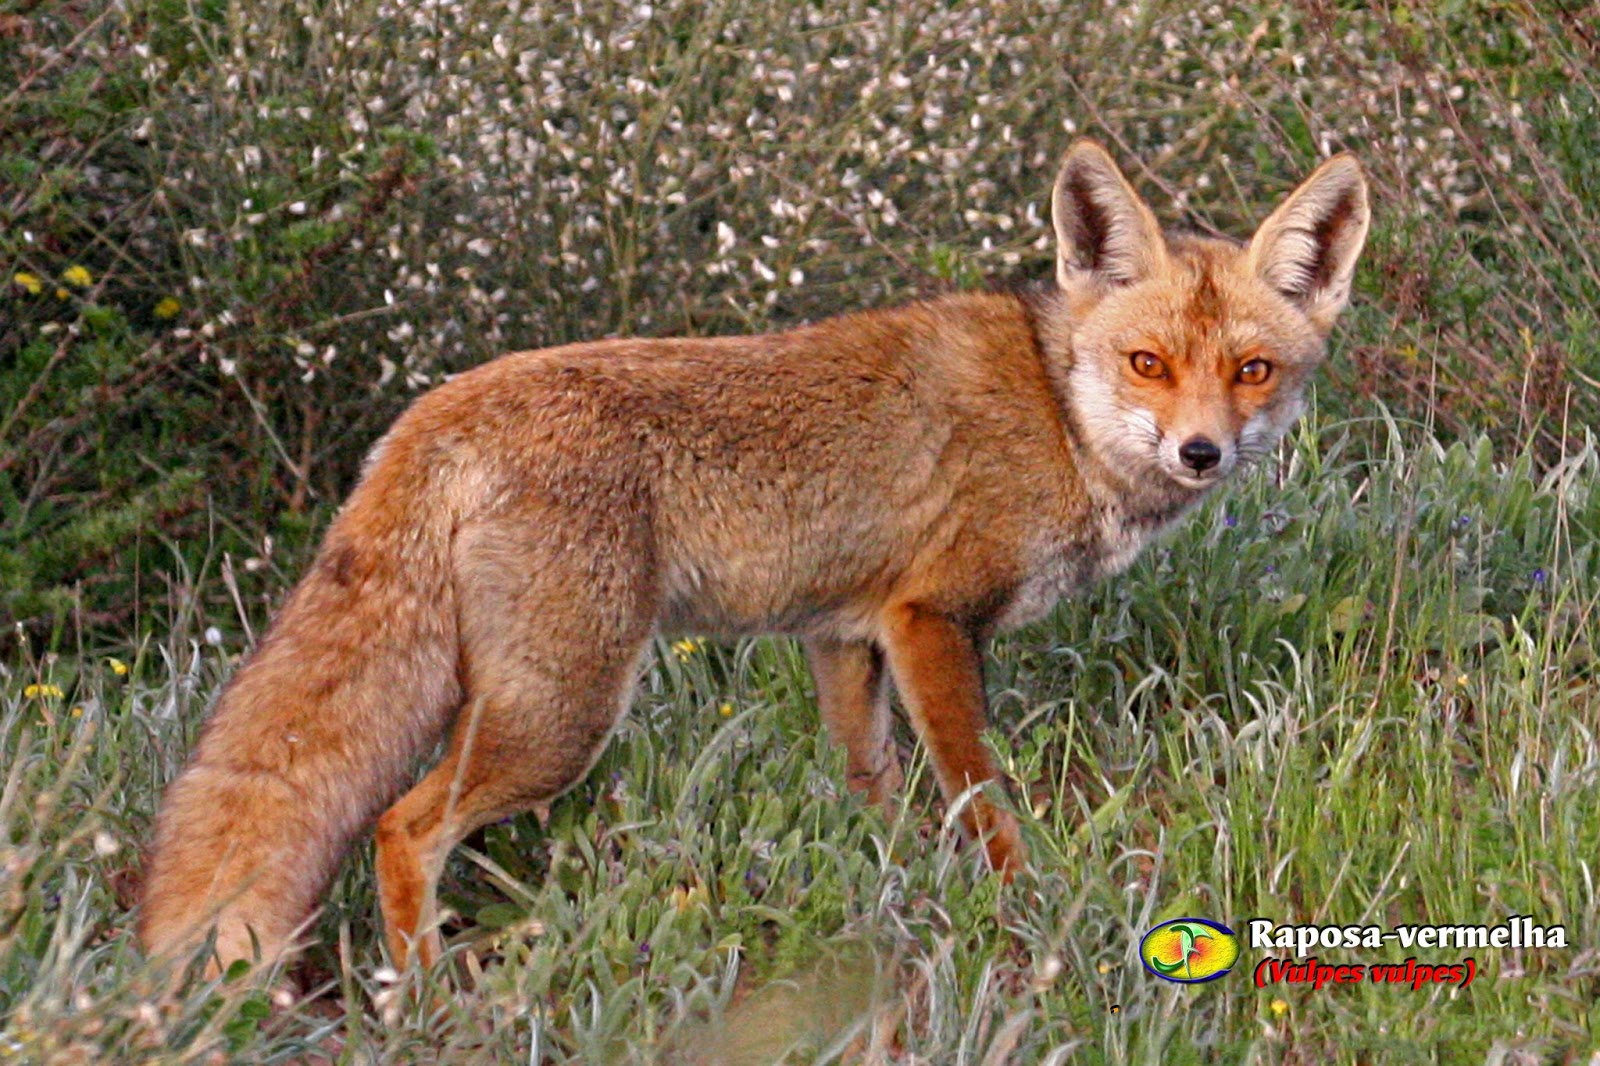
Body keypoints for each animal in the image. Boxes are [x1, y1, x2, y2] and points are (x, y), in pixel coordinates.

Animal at [139, 140, 1370, 976]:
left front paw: (898, 902)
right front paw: (1030, 909)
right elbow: (983, 797)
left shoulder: (847, 637)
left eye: (1252, 370)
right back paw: (425, 998)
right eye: (1148, 363)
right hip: (562, 715)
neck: (1057, 410)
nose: (1201, 451)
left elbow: (875, 792)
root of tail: (434, 408)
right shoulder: (931, 619)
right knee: (401, 825)